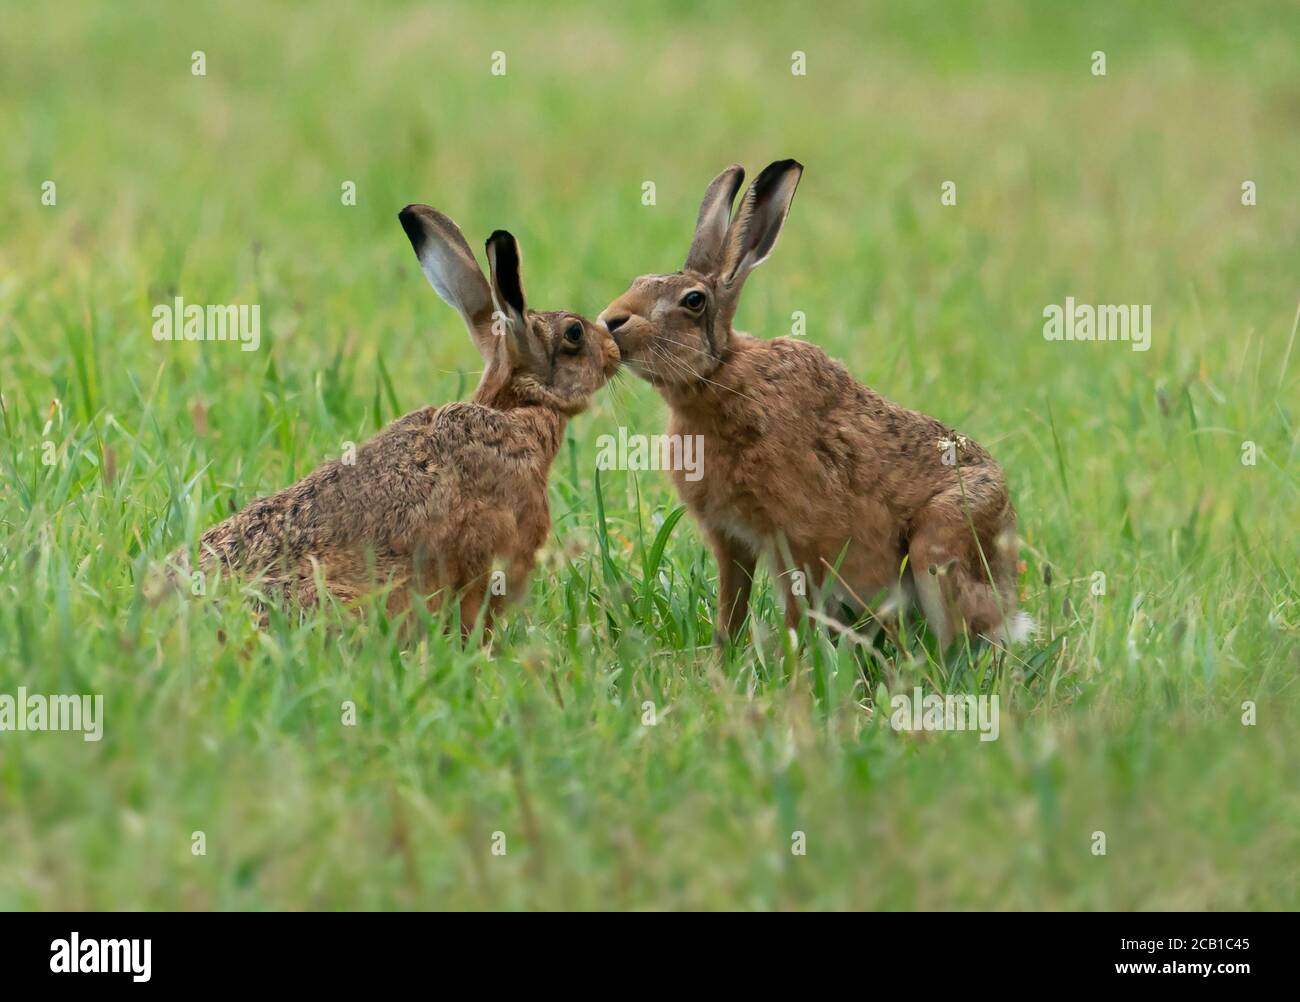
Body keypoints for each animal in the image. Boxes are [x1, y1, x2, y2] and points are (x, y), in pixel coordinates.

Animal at [598, 160, 1033, 650]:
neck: (719, 374)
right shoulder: (732, 539)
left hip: (940, 542)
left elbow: (796, 609)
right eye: (636, 282)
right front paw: (723, 658)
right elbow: (733, 606)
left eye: (693, 301)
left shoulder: (798, 539)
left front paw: (794, 663)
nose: (609, 321)